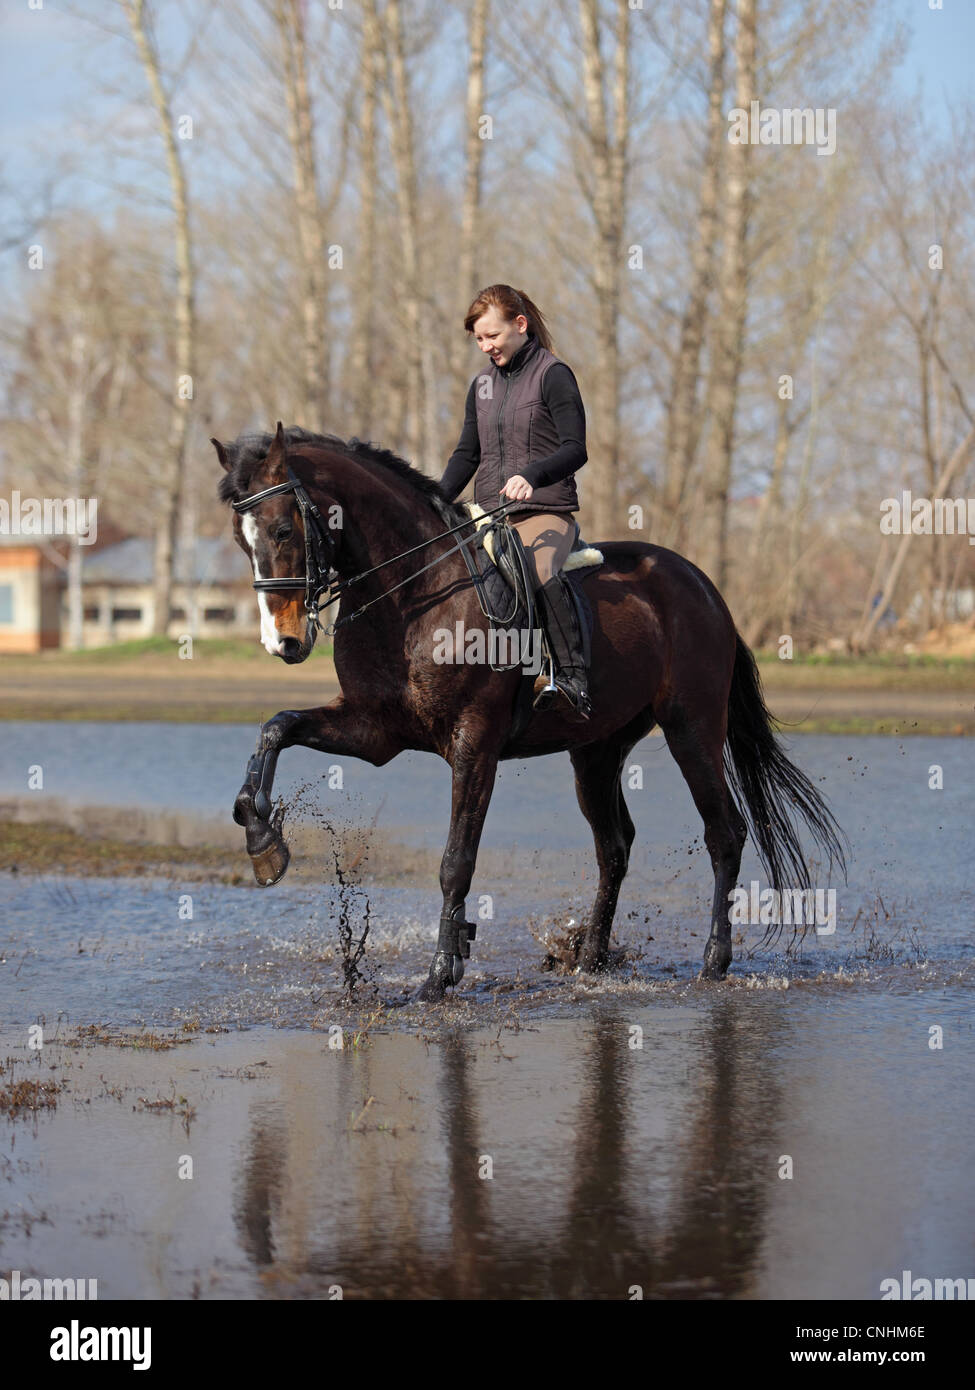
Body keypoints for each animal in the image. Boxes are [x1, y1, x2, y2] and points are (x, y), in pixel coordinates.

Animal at [213, 423, 846, 1003]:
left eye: (282, 529)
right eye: (243, 542)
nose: (283, 643)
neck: (414, 593)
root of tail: (703, 587)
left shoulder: (475, 745)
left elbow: (456, 860)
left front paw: (440, 975)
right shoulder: (375, 731)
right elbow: (276, 728)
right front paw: (261, 840)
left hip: (692, 729)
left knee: (724, 833)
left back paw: (714, 962)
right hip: (597, 751)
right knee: (614, 848)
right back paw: (590, 961)